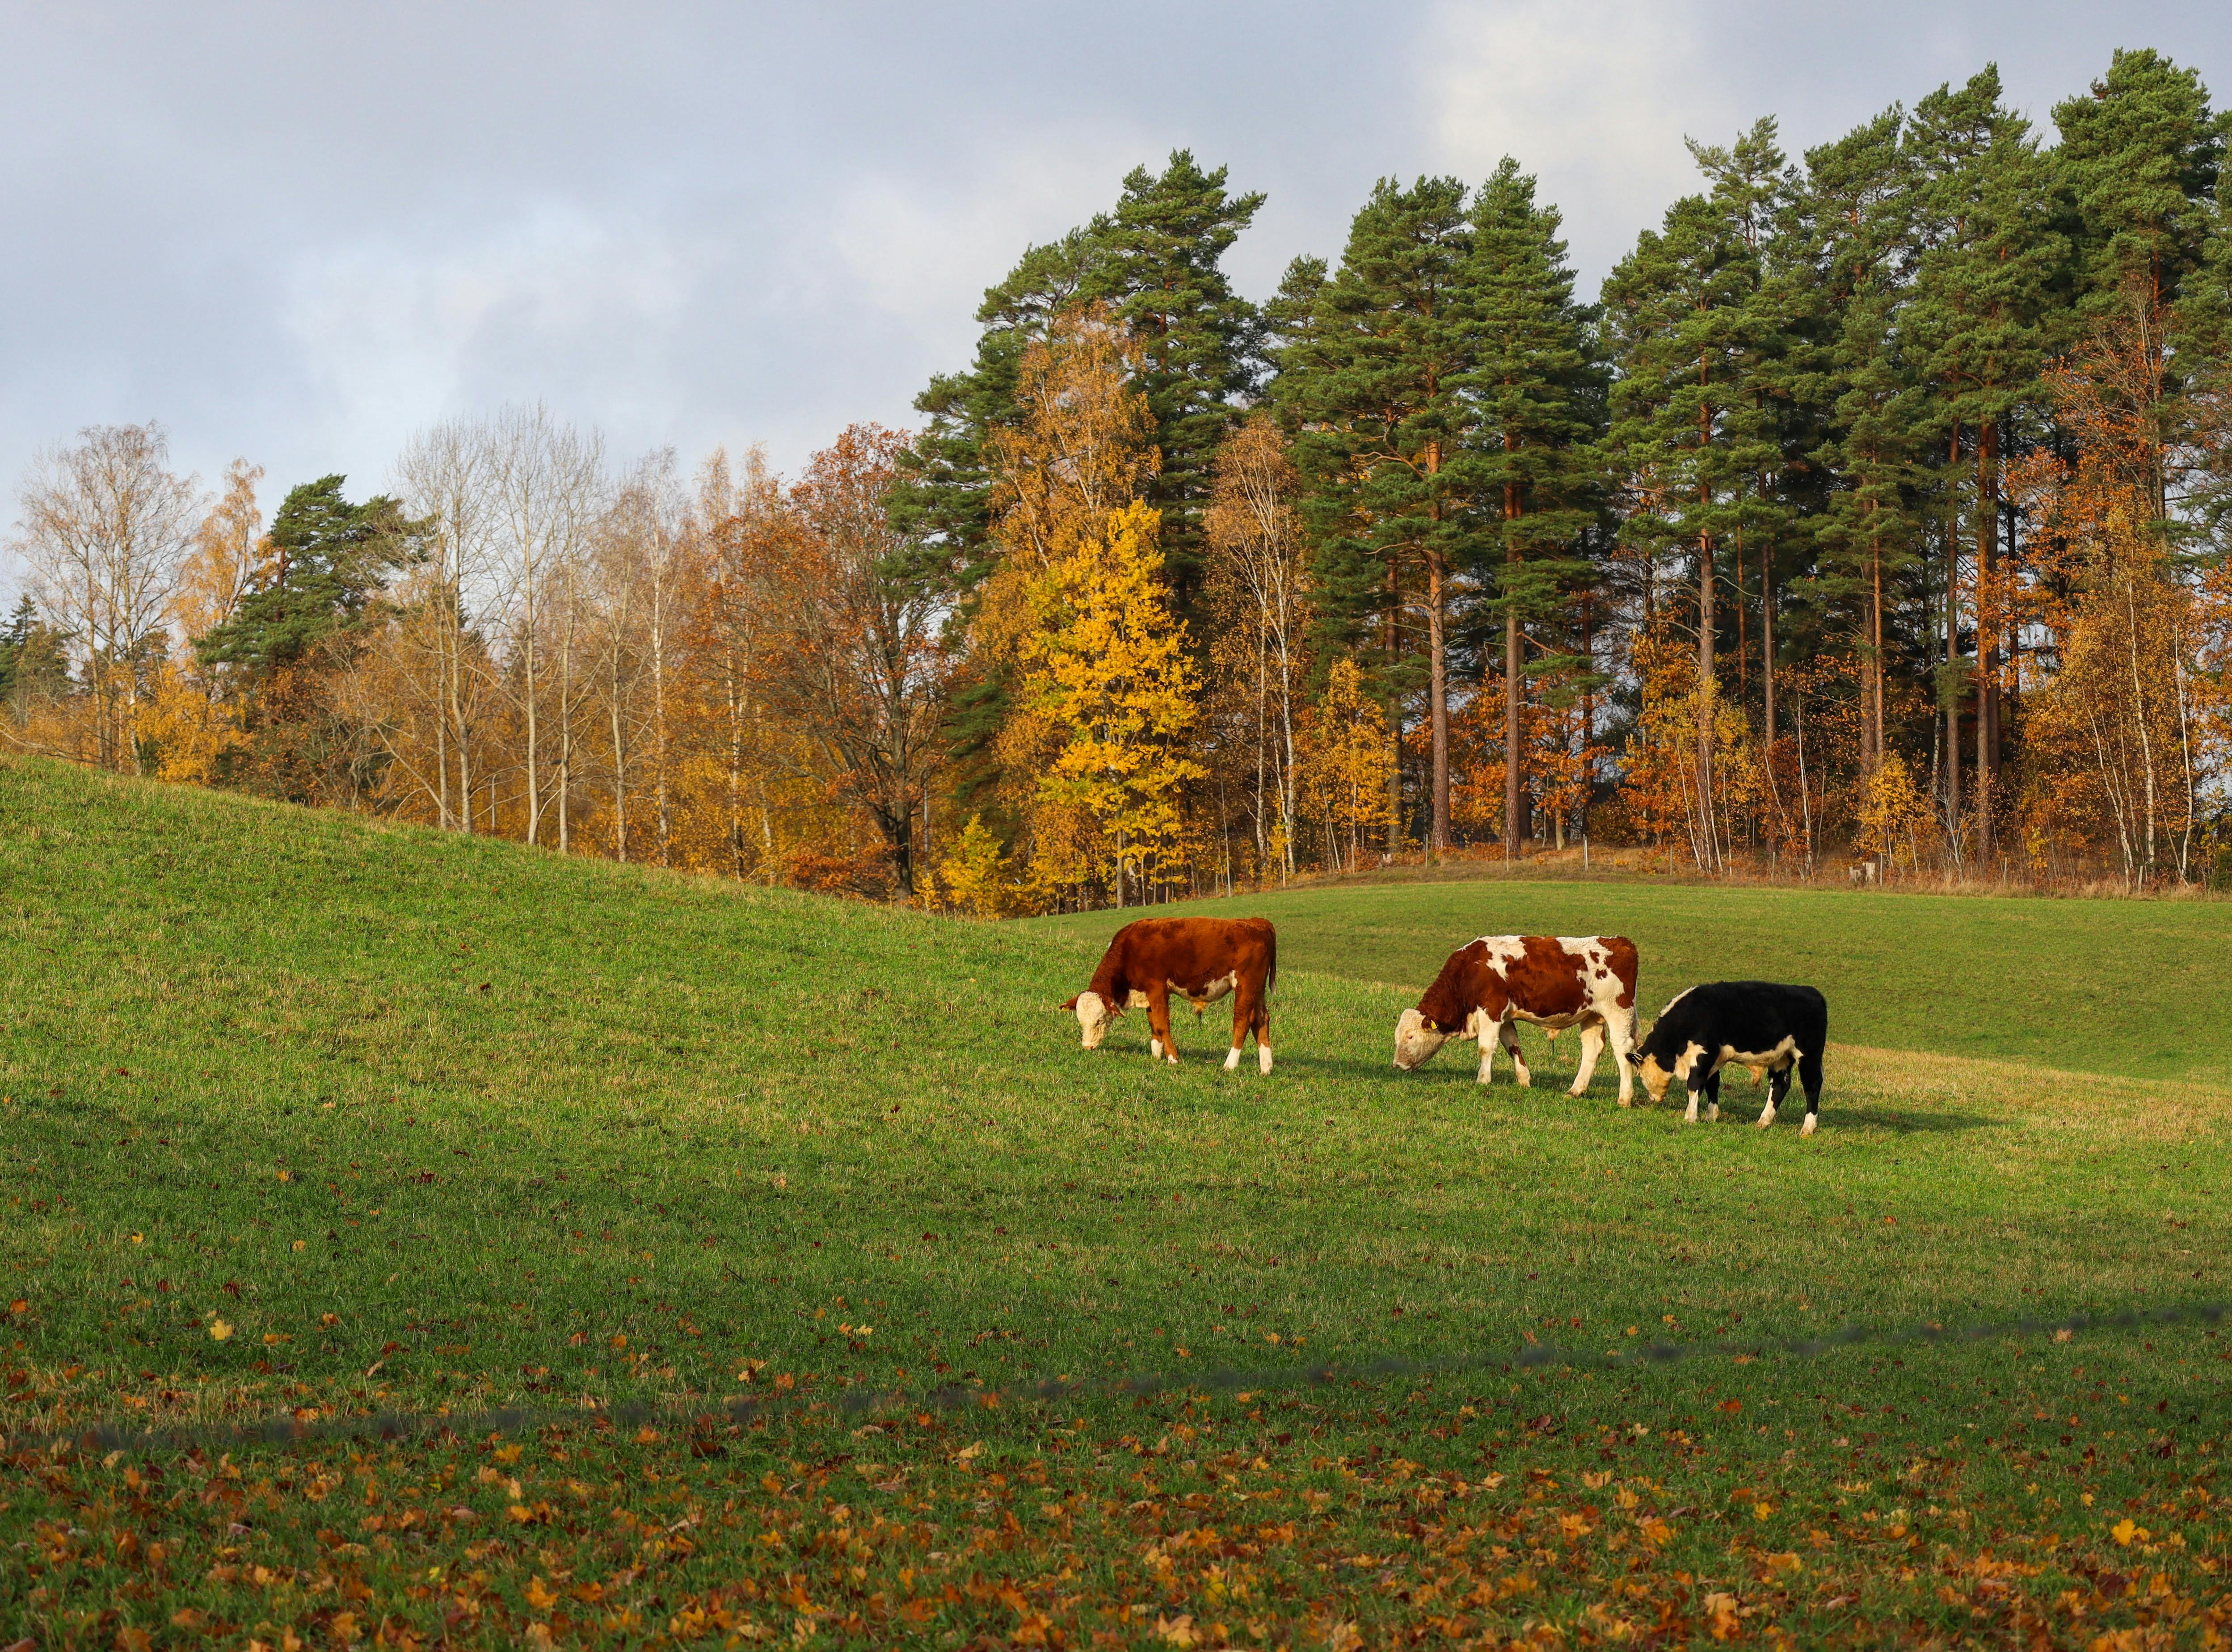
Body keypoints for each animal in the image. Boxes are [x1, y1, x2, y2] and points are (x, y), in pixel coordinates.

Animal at [1062, 916, 1276, 1072]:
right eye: (1081, 1021)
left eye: (1099, 1021)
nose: (1087, 1046)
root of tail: (1257, 922)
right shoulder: (1148, 993)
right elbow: (1153, 1023)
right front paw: (1157, 1054)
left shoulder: (1158, 988)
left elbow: (1162, 1024)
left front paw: (1172, 1058)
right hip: (1257, 989)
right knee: (1261, 1019)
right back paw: (1266, 1068)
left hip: (1245, 985)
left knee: (1242, 1020)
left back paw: (1230, 1064)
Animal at [1391, 935, 1640, 1103]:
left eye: (1411, 1036)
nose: (1396, 1065)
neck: (1470, 970)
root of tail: (1621, 942)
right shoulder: (1505, 1018)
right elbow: (1513, 1046)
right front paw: (1524, 1080)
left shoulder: (1491, 1010)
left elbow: (1485, 1048)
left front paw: (1483, 1080)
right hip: (1592, 1016)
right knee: (1592, 1049)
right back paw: (1574, 1091)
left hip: (1618, 1011)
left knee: (1623, 1049)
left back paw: (1625, 1098)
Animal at [1635, 982, 1828, 1135]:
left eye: (1642, 1076)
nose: (1653, 1099)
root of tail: (1811, 992)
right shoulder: (1714, 1059)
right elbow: (1712, 1085)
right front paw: (1711, 1117)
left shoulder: (1704, 1055)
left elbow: (1694, 1085)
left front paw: (1690, 1117)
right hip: (1782, 1057)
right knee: (1780, 1085)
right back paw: (1763, 1122)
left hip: (1809, 1054)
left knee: (1812, 1086)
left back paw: (1808, 1128)